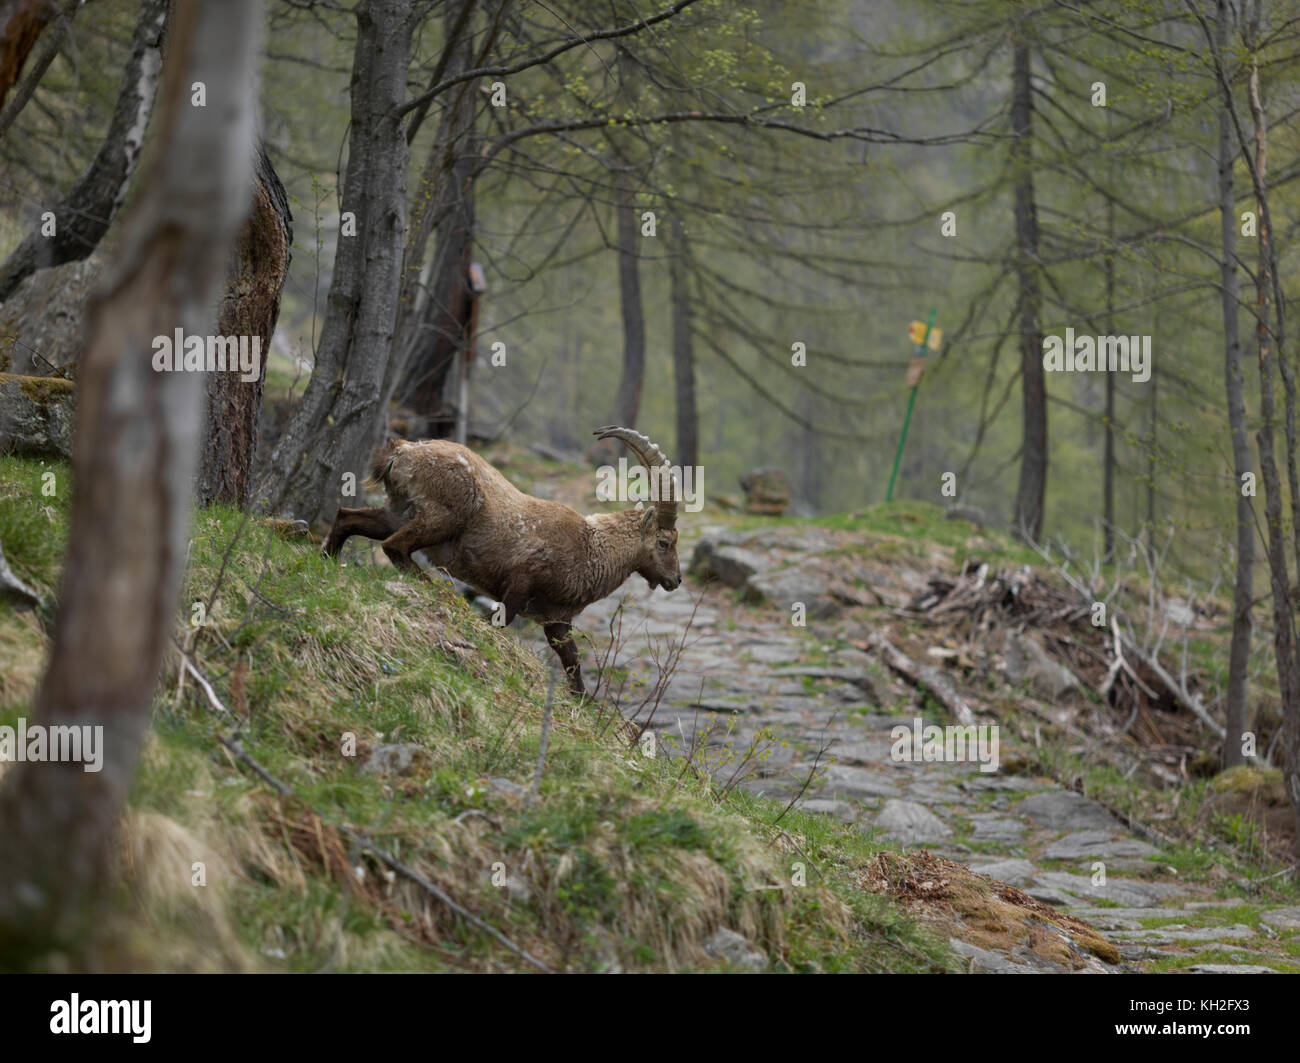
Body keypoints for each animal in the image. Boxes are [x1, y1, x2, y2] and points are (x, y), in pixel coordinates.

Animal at [323, 426, 682, 695]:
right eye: (664, 542)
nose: (676, 580)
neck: (592, 549)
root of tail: (403, 451)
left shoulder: (556, 619)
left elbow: (572, 660)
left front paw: (584, 704)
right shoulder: (520, 582)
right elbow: (501, 622)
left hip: (397, 512)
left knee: (347, 518)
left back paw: (326, 560)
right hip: (442, 518)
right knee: (393, 546)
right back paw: (436, 591)